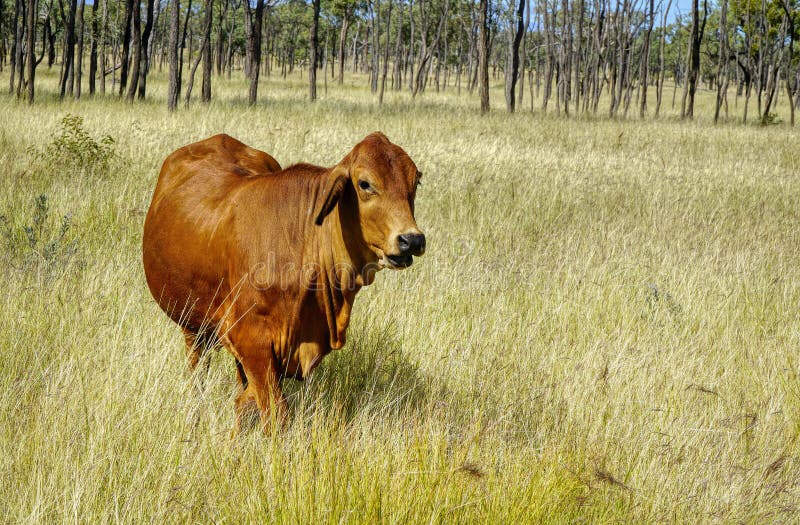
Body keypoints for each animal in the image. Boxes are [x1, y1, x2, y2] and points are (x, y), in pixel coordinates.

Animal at [142, 132, 425, 434]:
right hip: (192, 325)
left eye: (415, 181)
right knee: (197, 374)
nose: (412, 239)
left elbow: (246, 401)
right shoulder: (250, 341)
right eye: (365, 183)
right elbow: (275, 412)